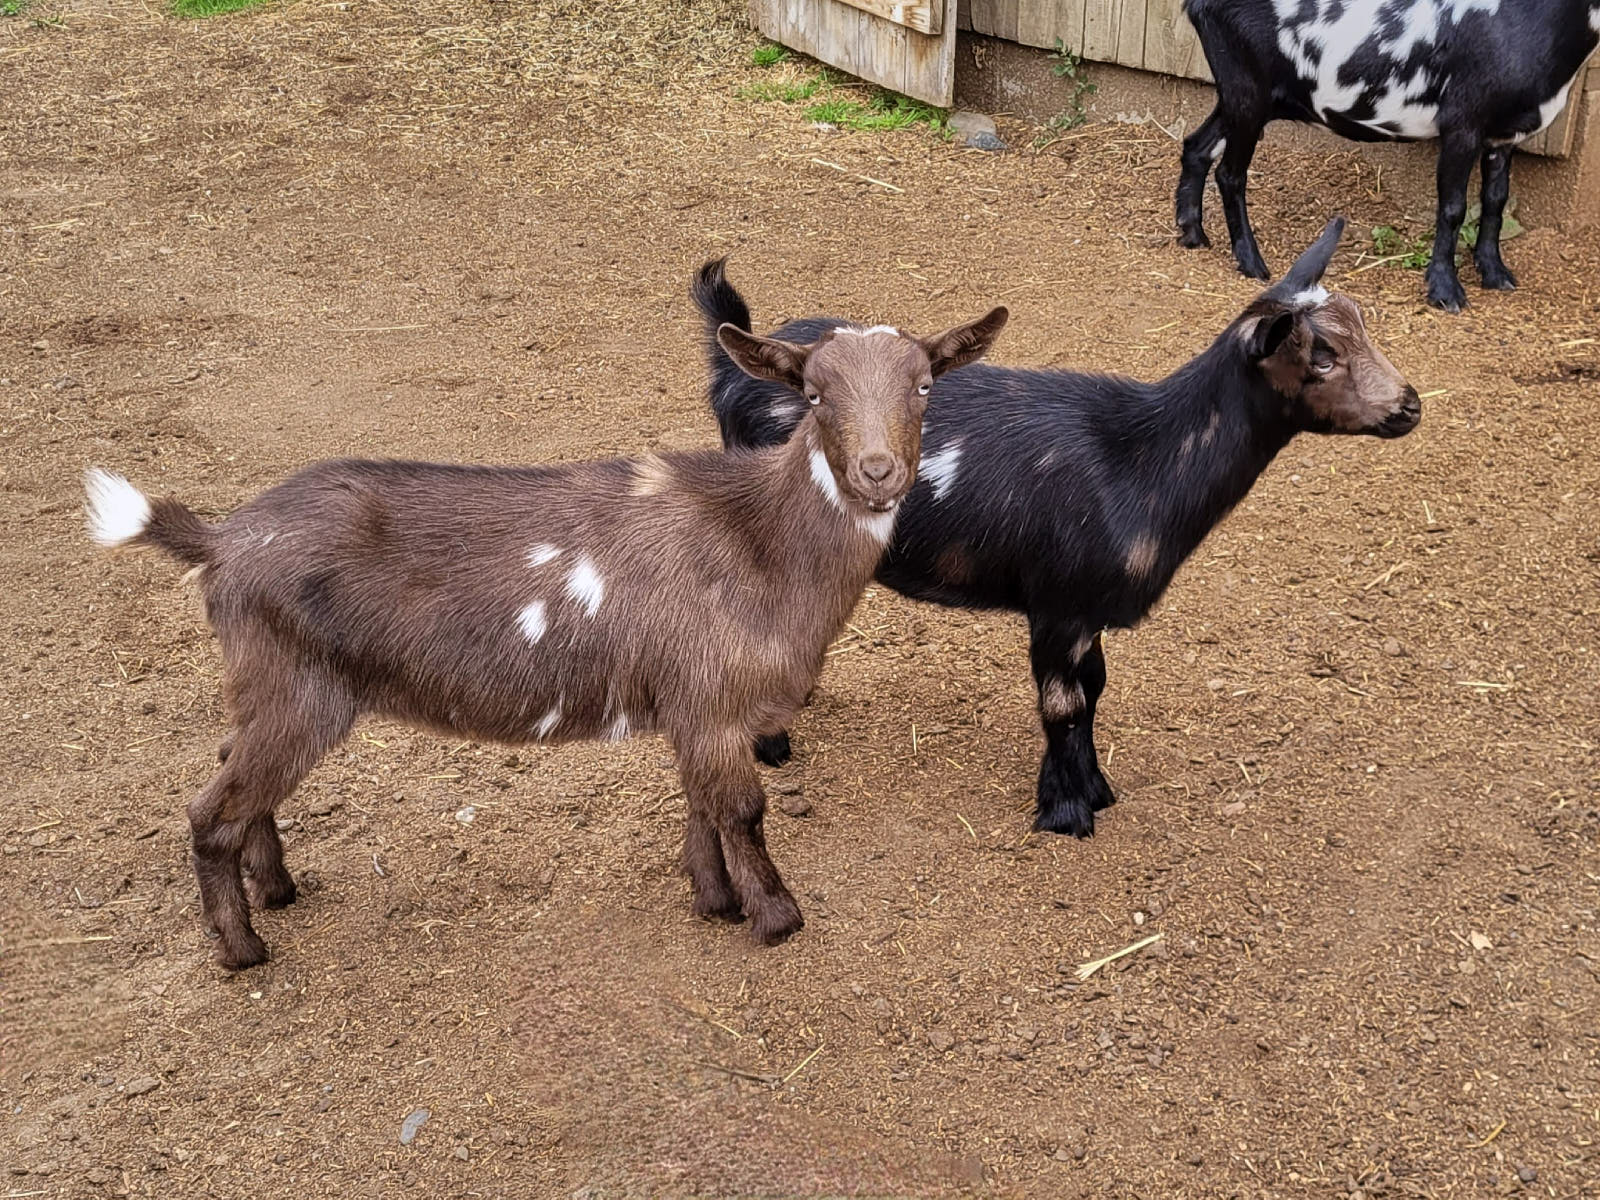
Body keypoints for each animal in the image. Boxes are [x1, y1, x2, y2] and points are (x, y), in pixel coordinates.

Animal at [84, 306, 1008, 968]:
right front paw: (777, 918)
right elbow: (742, 810)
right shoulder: (712, 699)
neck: (759, 541)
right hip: (296, 689)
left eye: (925, 386)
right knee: (209, 809)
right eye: (813, 393)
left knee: (233, 777)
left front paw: (713, 902)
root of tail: (220, 541)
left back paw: (277, 889)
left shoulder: (695, 708)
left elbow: (701, 805)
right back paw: (243, 949)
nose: (878, 472)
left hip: (270, 686)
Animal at [695, 219, 1420, 838]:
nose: (1410, 406)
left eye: (1363, 329)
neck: (1143, 456)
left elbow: (1093, 689)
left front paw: (1093, 789)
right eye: (1321, 357)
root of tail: (735, 368)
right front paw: (1067, 815)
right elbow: (1064, 705)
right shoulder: (1059, 604)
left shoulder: (1085, 609)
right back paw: (770, 743)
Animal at [1176, 0, 1600, 311]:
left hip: (1246, 98)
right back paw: (1252, 263)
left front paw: (1496, 275)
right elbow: (1453, 208)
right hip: (1246, 90)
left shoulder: (1503, 136)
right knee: (1230, 173)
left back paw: (1193, 234)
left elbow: (1495, 201)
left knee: (1196, 146)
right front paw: (1445, 292)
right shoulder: (1462, 123)